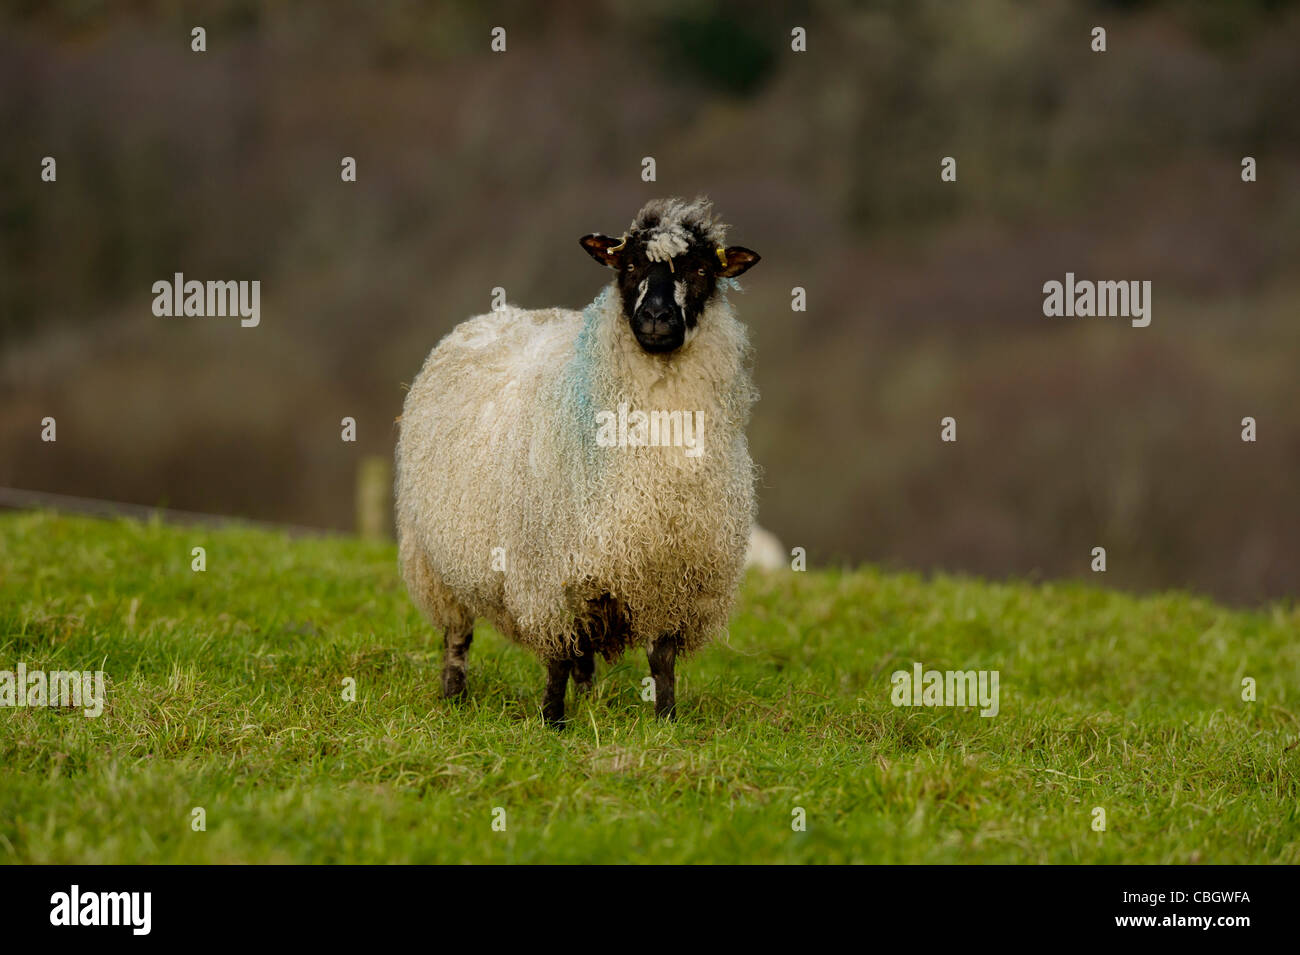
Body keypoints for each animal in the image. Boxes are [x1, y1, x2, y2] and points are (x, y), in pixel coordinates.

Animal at [395, 197, 761, 725]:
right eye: (629, 266)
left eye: (698, 270)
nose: (656, 316)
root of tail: (485, 320)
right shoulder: (547, 574)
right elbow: (555, 659)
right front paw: (552, 721)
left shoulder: (670, 572)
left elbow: (662, 658)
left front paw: (666, 720)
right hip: (434, 560)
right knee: (458, 636)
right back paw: (454, 695)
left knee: (584, 650)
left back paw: (589, 698)